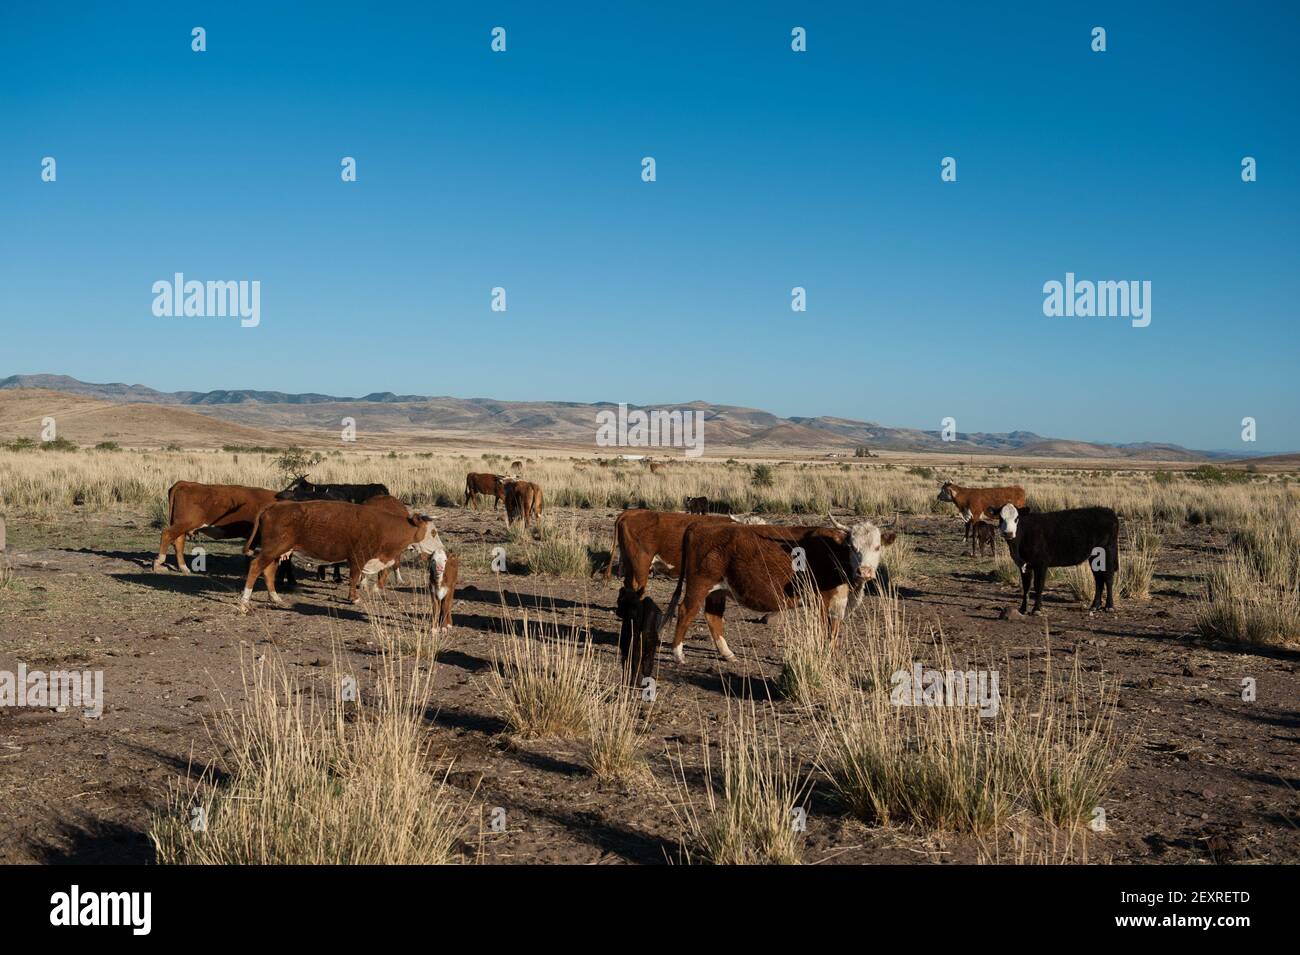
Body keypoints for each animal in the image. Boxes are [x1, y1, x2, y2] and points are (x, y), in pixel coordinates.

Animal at [238, 500, 445, 612]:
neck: (385, 527)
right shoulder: (358, 557)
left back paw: (275, 598)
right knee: (256, 566)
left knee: (268, 571)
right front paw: (354, 597)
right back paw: (244, 601)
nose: (442, 548)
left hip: (278, 551)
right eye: (433, 532)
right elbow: (354, 577)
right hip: (272, 549)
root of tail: (274, 506)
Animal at [657, 515, 896, 663]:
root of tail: (700, 524)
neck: (835, 552)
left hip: (718, 590)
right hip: (699, 584)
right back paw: (678, 654)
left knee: (713, 616)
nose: (865, 571)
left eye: (877, 547)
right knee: (686, 611)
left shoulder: (839, 602)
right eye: (853, 547)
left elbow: (834, 629)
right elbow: (825, 629)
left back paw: (728, 654)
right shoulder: (823, 600)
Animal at [988, 503, 1119, 615]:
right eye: (1001, 518)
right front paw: (1023, 609)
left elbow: (1038, 585)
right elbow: (1026, 587)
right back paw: (1095, 606)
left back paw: (1109, 606)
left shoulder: (1041, 563)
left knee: (1108, 577)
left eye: (1016, 518)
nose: (1008, 533)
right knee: (1098, 579)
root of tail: (1108, 511)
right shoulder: (1024, 565)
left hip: (1107, 551)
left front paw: (1036, 609)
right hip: (1094, 557)